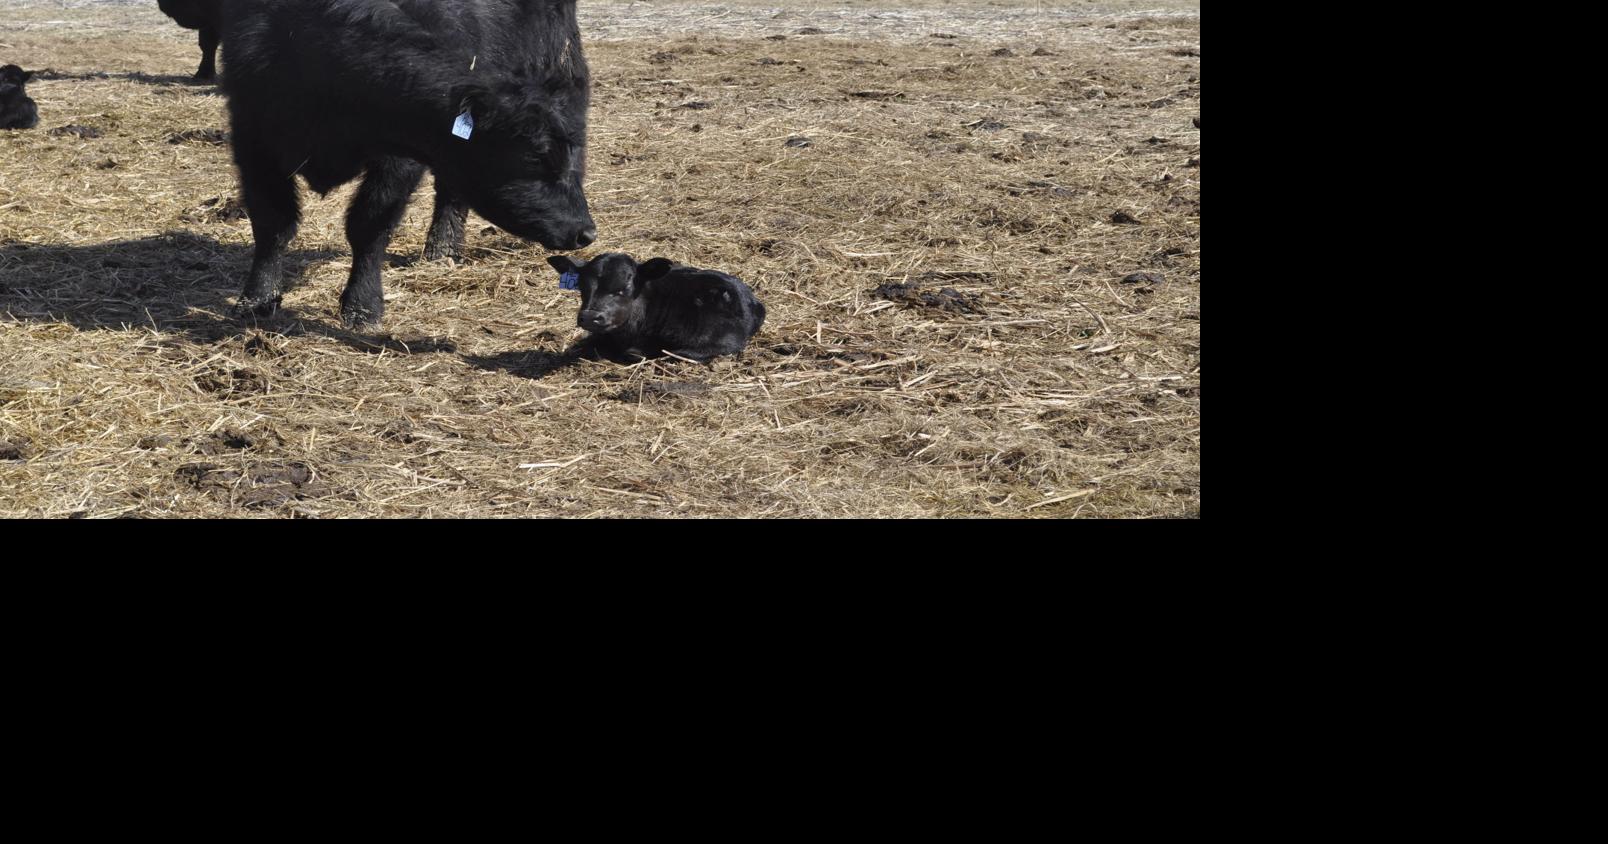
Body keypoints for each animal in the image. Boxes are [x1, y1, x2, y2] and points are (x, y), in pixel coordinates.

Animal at [221, 0, 596, 330]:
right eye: (535, 156)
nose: (587, 232)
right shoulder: (253, 138)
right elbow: (273, 223)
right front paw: (257, 299)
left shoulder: (400, 157)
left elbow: (369, 225)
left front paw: (363, 306)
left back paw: (443, 249)